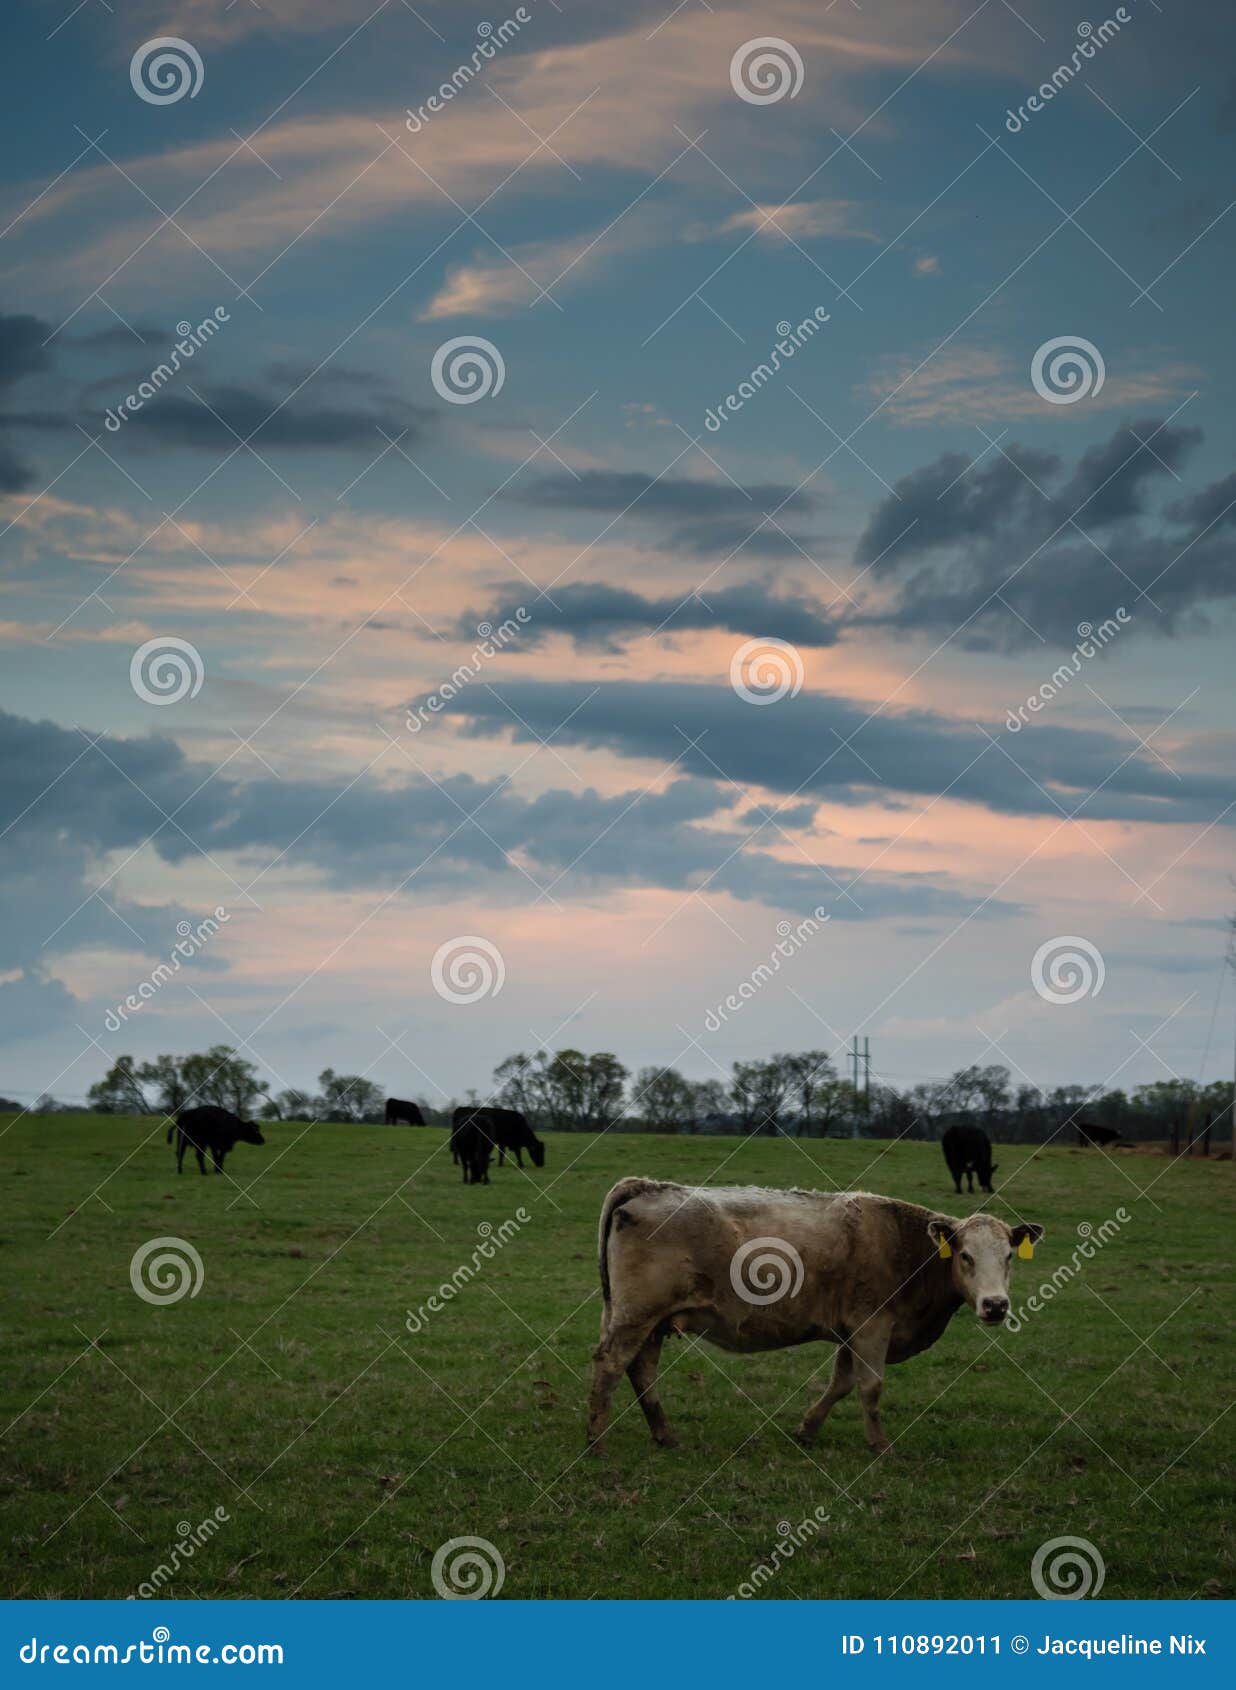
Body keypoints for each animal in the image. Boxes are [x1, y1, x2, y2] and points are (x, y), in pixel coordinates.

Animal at [587, 1178, 1043, 1456]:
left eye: (1008, 1256)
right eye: (965, 1256)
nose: (995, 1305)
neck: (906, 1247)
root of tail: (647, 1186)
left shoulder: (852, 1333)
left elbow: (842, 1383)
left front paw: (807, 1429)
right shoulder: (872, 1326)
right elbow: (870, 1387)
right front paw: (880, 1446)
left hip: (649, 1321)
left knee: (642, 1372)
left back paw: (665, 1435)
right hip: (636, 1316)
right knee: (611, 1365)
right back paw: (597, 1443)